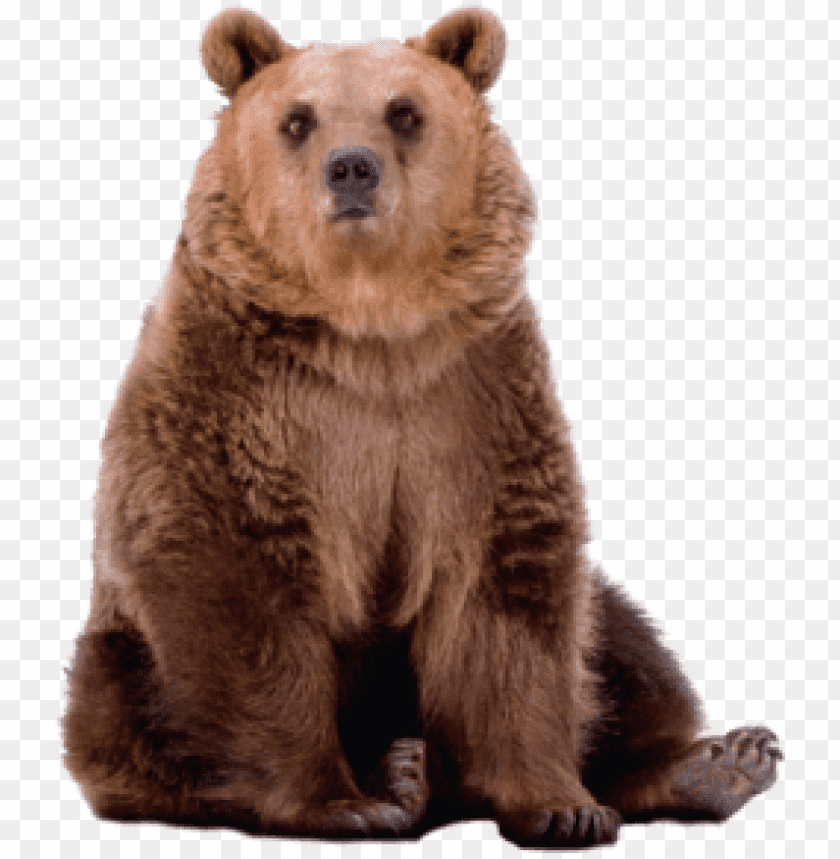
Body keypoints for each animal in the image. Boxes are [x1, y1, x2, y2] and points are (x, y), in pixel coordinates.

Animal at [62, 7, 782, 849]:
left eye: (404, 112)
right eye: (297, 119)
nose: (351, 168)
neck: (372, 327)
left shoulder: (470, 400)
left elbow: (511, 596)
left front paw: (562, 805)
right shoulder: (236, 397)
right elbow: (237, 582)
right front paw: (338, 800)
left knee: (623, 643)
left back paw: (717, 762)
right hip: (120, 654)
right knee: (125, 710)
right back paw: (395, 777)